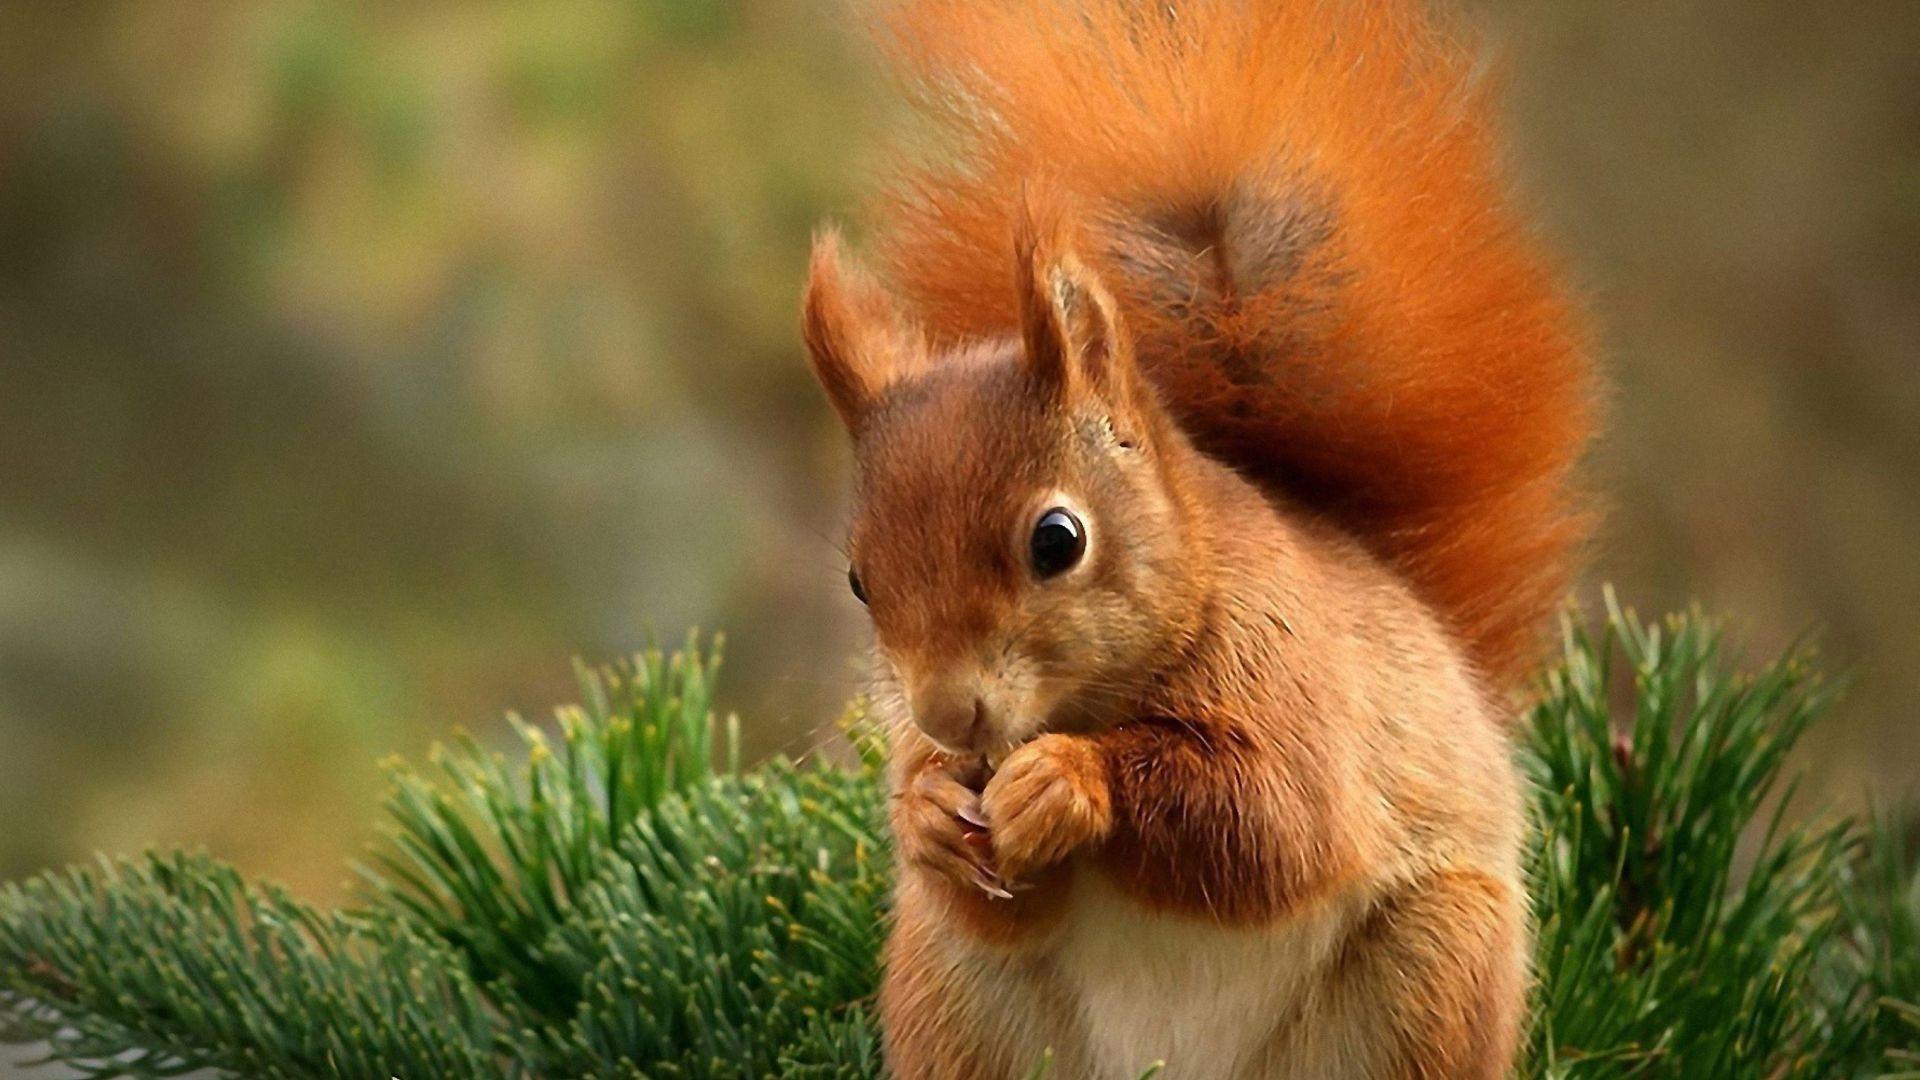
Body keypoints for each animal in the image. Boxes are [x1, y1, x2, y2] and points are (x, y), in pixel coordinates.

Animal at [800, 0, 1594, 1077]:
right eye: (857, 580)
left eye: (1058, 540)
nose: (946, 715)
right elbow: (998, 899)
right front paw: (922, 813)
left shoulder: (1297, 686)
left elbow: (1275, 824)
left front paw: (1067, 781)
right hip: (952, 995)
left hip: (1434, 968)